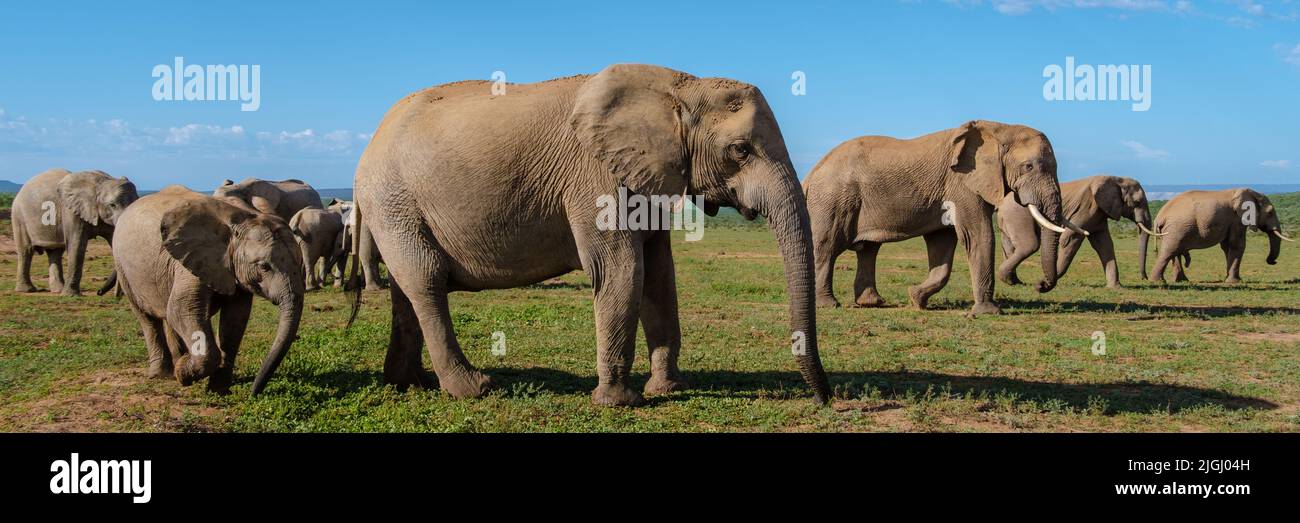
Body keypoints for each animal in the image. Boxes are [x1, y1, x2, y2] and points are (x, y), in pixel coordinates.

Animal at [112, 186, 305, 394]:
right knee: (147, 317)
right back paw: (162, 374)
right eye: (264, 266)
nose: (254, 392)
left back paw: (179, 360)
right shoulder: (190, 262)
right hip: (123, 266)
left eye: (300, 261)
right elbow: (182, 309)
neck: (243, 218)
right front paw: (183, 375)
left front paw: (218, 390)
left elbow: (235, 319)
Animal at [351, 64, 831, 407]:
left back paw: (409, 383)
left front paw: (668, 390)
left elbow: (660, 276)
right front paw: (620, 402)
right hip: (394, 199)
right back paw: (475, 387)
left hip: (397, 208)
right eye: (740, 150)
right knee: (426, 280)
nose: (826, 400)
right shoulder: (594, 178)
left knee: (407, 289)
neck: (678, 86)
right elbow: (622, 269)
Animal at [804, 120, 1085, 316]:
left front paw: (915, 298)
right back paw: (829, 305)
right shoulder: (963, 183)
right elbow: (978, 235)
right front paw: (989, 312)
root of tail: (812, 172)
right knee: (828, 246)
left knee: (869, 249)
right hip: (833, 200)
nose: (1040, 286)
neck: (1000, 128)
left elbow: (942, 243)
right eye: (1028, 166)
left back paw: (872, 303)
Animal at [997, 175, 1161, 288]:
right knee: (1029, 245)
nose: (1145, 278)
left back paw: (1013, 282)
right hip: (1018, 214)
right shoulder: (1086, 208)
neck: (1117, 179)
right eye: (1137, 202)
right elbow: (1070, 240)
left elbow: (1105, 245)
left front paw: (1115, 288)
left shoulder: (1099, 214)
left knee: (1009, 246)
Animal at [1148, 188, 1293, 284]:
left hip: (1172, 230)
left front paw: (1228, 279)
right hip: (1177, 228)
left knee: (1175, 252)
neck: (1252, 192)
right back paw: (1158, 282)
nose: (1272, 262)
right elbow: (1237, 244)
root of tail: (1160, 216)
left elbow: (1227, 246)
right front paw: (1235, 282)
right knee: (1169, 251)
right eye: (1270, 213)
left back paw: (1181, 281)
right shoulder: (1237, 219)